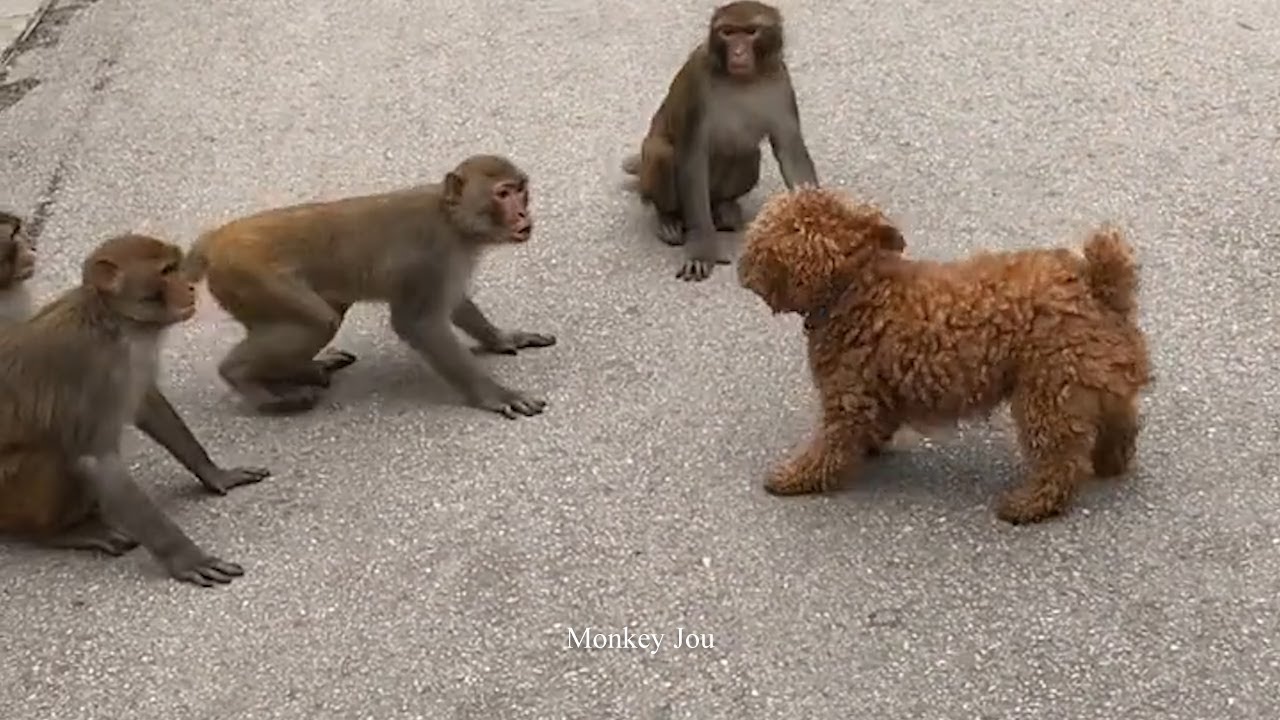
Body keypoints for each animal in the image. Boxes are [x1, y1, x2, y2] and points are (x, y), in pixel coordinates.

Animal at [0, 233, 272, 586]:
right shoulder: (90, 367)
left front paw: (214, 473)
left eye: (176, 267)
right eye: (166, 271)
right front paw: (185, 557)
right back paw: (62, 533)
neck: (115, 324)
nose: (190, 287)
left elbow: (148, 403)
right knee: (54, 456)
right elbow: (96, 459)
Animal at [183, 154, 557, 418]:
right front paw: (494, 394)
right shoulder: (429, 258)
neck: (452, 219)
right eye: (503, 194)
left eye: (520, 190)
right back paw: (243, 379)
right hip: (252, 276)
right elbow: (419, 324)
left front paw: (502, 338)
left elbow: (456, 302)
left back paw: (295, 372)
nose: (523, 215)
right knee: (319, 320)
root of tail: (214, 240)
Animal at [621, 1, 819, 282]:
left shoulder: (781, 82)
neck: (744, 80)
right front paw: (702, 253)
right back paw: (668, 219)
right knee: (661, 153)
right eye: (728, 32)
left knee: (747, 153)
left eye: (750, 32)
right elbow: (692, 158)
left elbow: (791, 153)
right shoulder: (699, 85)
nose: (737, 52)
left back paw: (724, 208)